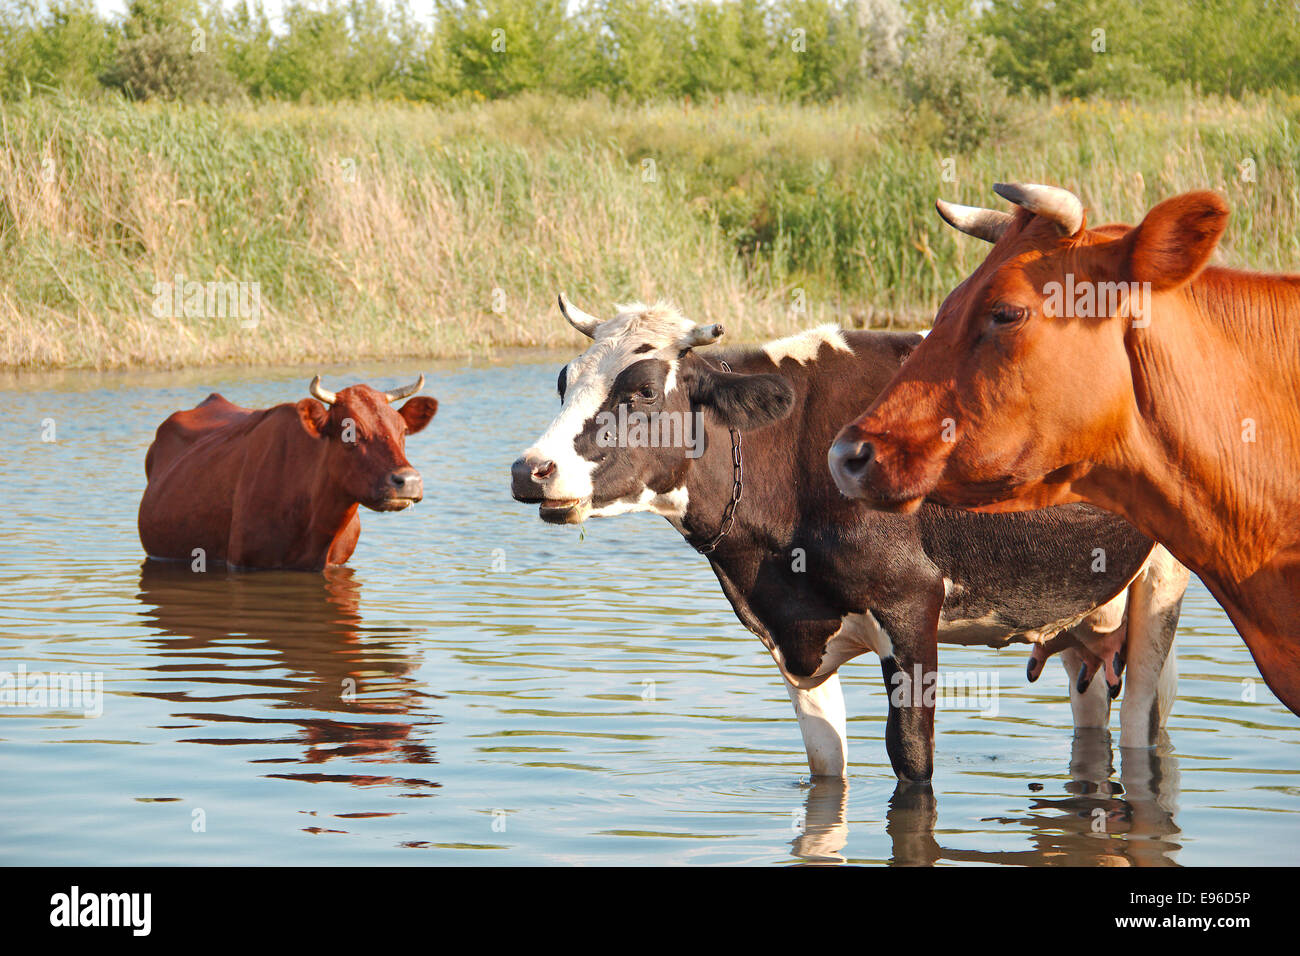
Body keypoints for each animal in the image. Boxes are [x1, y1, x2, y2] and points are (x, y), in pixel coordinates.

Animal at [510, 295, 1187, 782]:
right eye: (563, 382)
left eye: (645, 390)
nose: (529, 469)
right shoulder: (792, 637)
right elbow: (825, 766)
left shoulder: (912, 605)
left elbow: (912, 758)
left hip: (1165, 577)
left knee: (1142, 714)